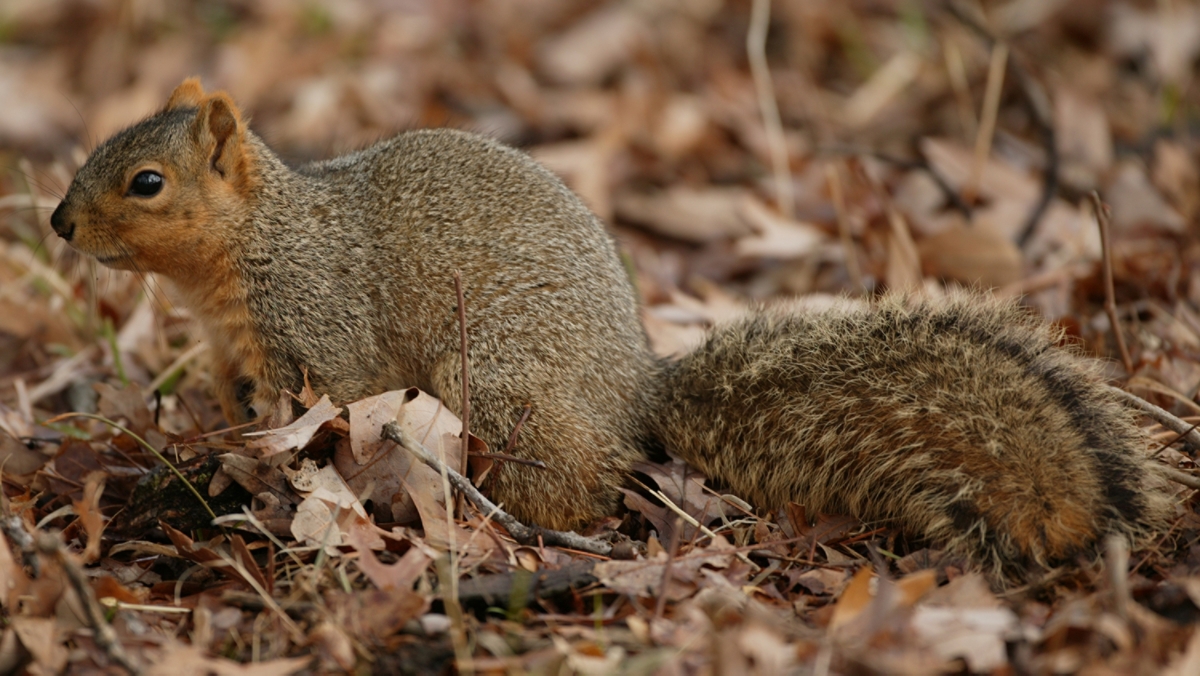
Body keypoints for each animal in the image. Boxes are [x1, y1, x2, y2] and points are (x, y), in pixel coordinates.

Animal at [50, 78, 1171, 584]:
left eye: (145, 182)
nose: (57, 221)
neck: (252, 246)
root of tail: (635, 385)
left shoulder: (322, 326)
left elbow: (330, 402)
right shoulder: (238, 355)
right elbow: (248, 414)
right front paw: (226, 456)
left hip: (501, 376)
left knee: (579, 482)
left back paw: (514, 525)